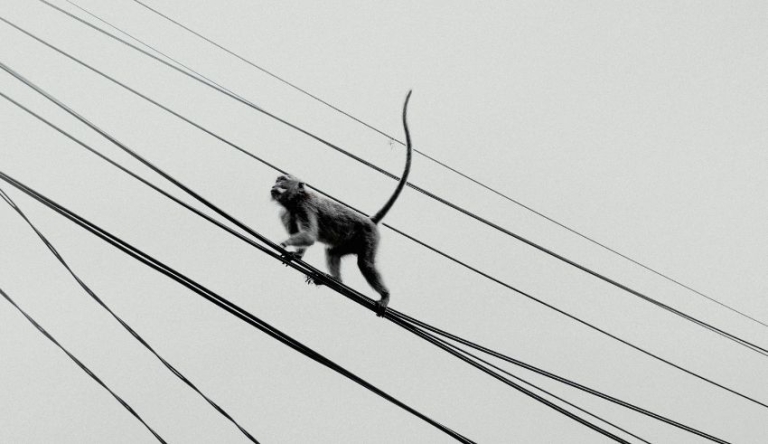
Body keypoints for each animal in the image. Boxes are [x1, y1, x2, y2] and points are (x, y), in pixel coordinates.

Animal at [271, 90, 413, 316]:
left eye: (282, 180)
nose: (275, 185)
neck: (295, 200)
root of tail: (370, 220)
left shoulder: (304, 208)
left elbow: (309, 236)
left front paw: (285, 244)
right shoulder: (287, 213)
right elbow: (305, 239)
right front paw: (296, 254)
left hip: (368, 238)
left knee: (365, 264)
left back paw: (385, 296)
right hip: (349, 241)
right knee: (333, 252)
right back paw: (336, 280)